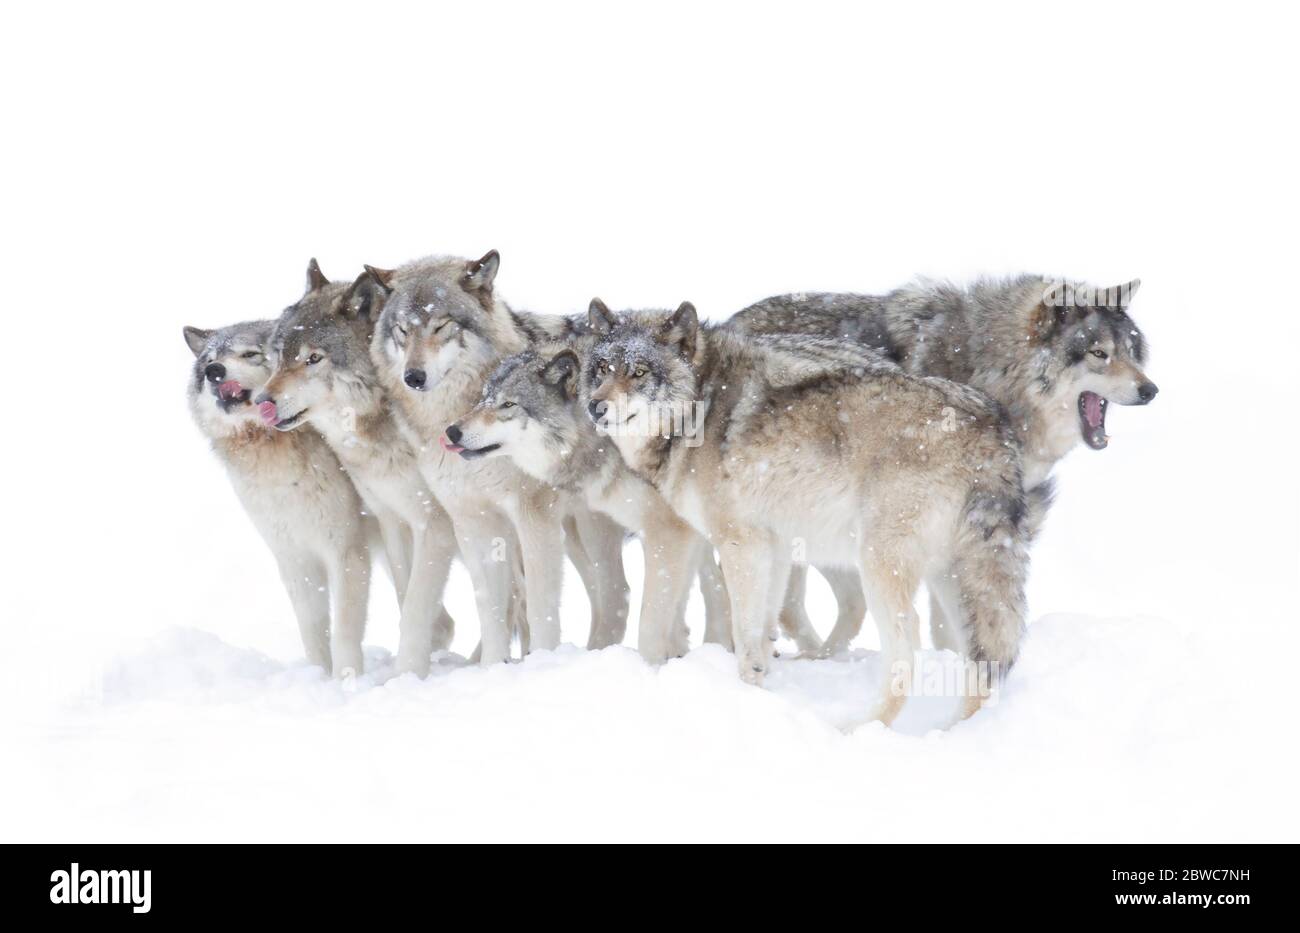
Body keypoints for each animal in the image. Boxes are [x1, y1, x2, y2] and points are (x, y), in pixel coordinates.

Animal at [185, 318, 373, 676]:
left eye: (250, 354)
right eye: (210, 360)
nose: (214, 371)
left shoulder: (346, 550)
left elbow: (344, 630)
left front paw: (348, 682)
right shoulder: (294, 557)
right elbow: (312, 630)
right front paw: (319, 679)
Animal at [254, 260, 459, 677]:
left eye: (314, 358)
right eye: (280, 355)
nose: (261, 402)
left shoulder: (436, 522)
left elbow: (416, 604)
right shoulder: (393, 516)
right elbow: (408, 596)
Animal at [366, 251, 631, 663]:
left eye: (441, 325)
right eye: (402, 331)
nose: (413, 376)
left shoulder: (532, 516)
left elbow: (538, 606)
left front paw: (539, 663)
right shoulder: (471, 520)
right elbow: (491, 608)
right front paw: (494, 667)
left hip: (594, 523)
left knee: (618, 594)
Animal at [585, 300, 1031, 724]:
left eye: (640, 372)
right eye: (603, 368)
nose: (594, 407)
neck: (700, 404)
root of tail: (992, 429)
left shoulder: (739, 544)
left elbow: (741, 632)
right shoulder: (776, 548)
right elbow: (763, 631)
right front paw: (759, 692)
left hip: (881, 565)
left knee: (908, 653)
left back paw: (859, 727)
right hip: (955, 580)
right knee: (982, 663)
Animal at [731, 275, 1158, 654]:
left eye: (1132, 352)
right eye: (1099, 353)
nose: (1150, 390)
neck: (993, 369)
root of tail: (732, 320)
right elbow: (947, 626)